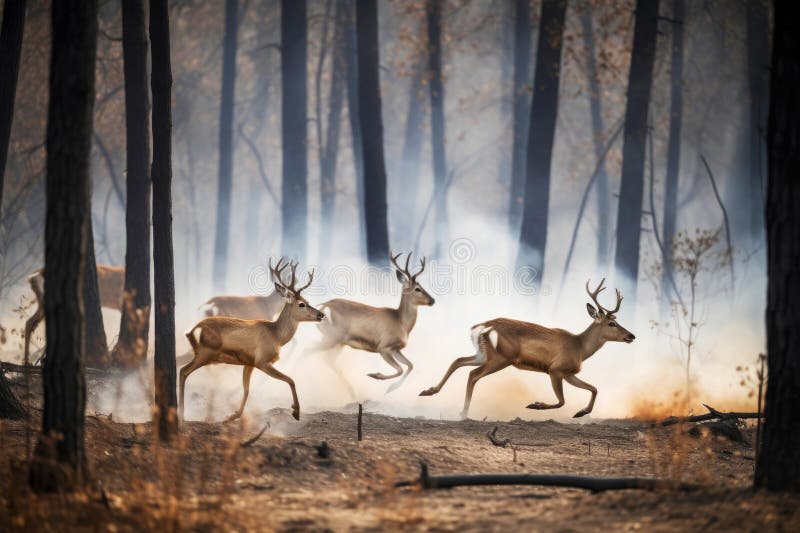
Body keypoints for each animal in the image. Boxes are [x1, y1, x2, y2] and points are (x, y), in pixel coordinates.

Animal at [179, 258, 324, 422]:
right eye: (301, 304)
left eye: (307, 300)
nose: (321, 314)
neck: (276, 336)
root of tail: (196, 326)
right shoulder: (262, 361)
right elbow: (290, 379)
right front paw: (296, 411)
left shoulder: (249, 363)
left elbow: (246, 389)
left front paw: (232, 416)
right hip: (206, 353)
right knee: (183, 371)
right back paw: (182, 415)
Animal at [315, 251, 435, 395]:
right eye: (417, 289)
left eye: (422, 286)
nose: (432, 300)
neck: (401, 323)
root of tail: (324, 306)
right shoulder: (383, 347)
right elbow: (400, 369)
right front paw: (376, 376)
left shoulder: (396, 349)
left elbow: (410, 365)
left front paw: (391, 387)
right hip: (333, 336)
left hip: (338, 341)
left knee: (327, 359)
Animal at [419, 278, 635, 419]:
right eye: (612, 324)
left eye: (617, 321)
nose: (631, 336)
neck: (580, 347)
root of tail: (482, 326)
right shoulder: (555, 369)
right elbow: (562, 401)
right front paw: (535, 405)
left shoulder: (569, 373)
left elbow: (594, 388)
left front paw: (581, 412)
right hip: (501, 357)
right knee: (473, 374)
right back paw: (463, 413)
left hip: (484, 353)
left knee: (458, 360)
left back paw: (429, 391)